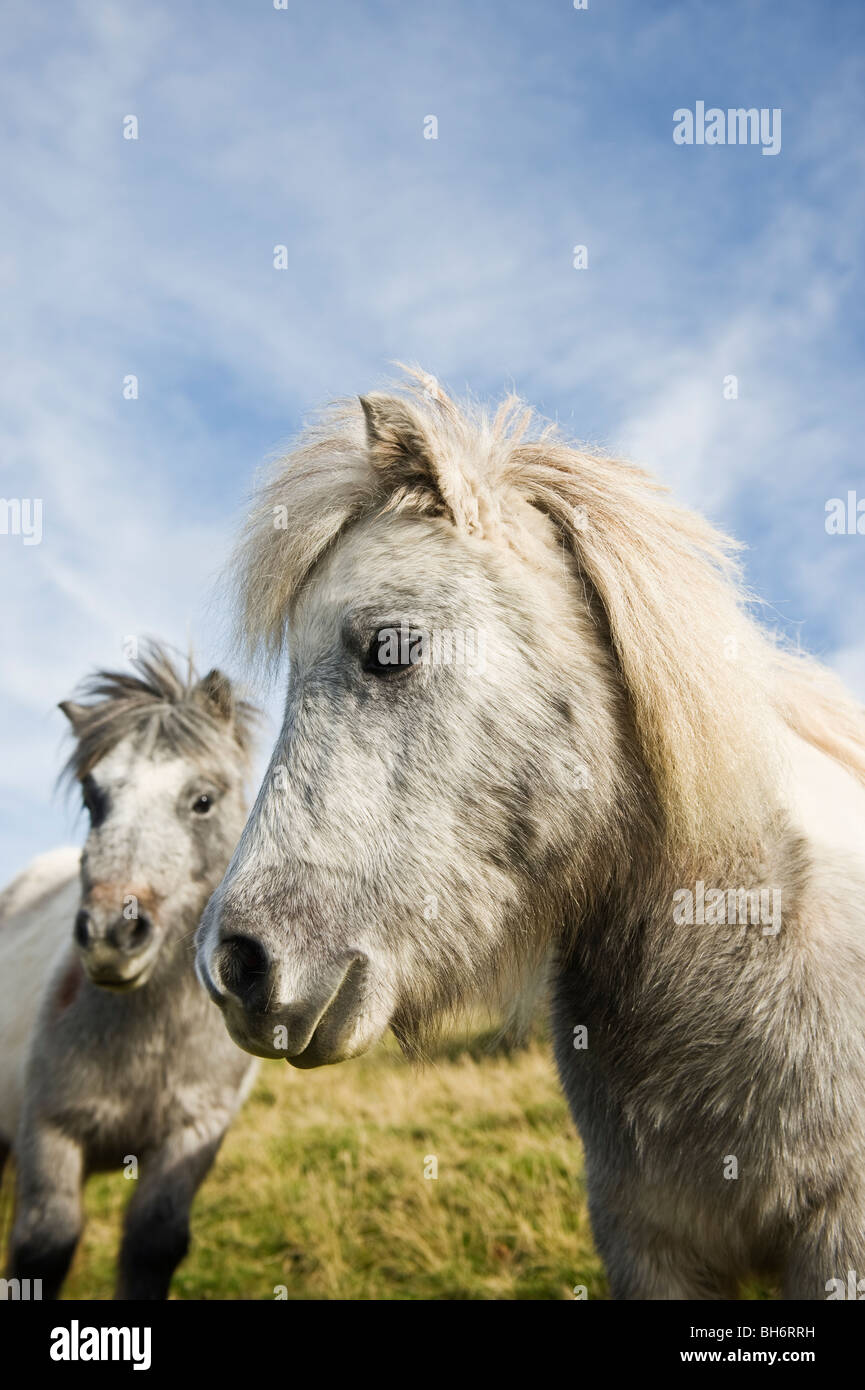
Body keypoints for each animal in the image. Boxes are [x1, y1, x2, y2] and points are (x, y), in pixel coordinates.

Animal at [0, 644, 259, 1299]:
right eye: (93, 799)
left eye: (203, 800)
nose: (111, 938)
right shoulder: (49, 1133)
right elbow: (42, 1246)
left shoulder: (189, 1140)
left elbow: (152, 1245)